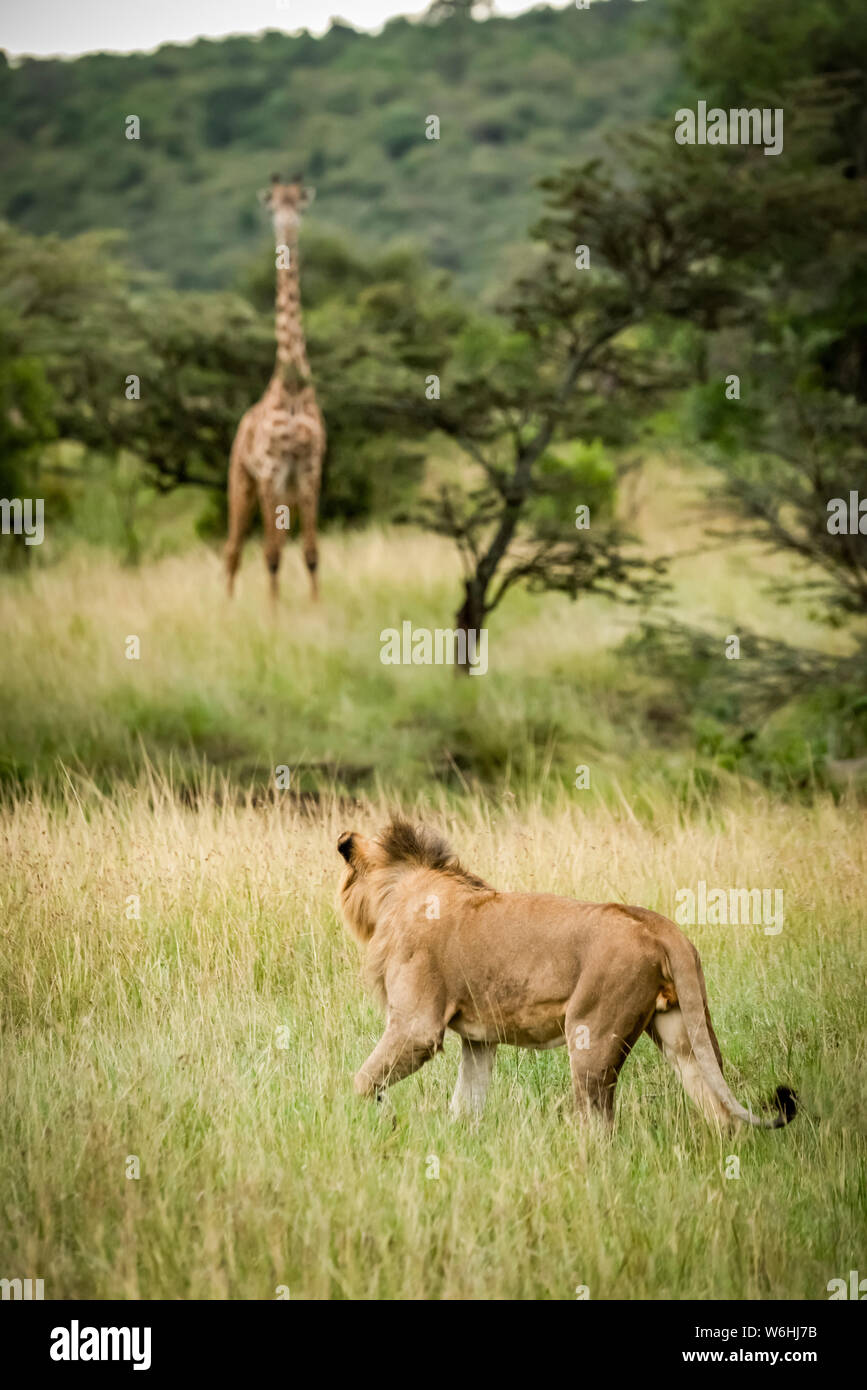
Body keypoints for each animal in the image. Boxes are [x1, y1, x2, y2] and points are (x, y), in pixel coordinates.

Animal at [335, 819, 797, 1130]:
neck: (397, 893)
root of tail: (659, 924)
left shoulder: (417, 1026)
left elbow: (362, 1080)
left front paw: (370, 1120)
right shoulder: (480, 1038)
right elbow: (466, 1102)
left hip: (592, 1035)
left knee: (599, 1123)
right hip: (682, 1031)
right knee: (720, 1111)